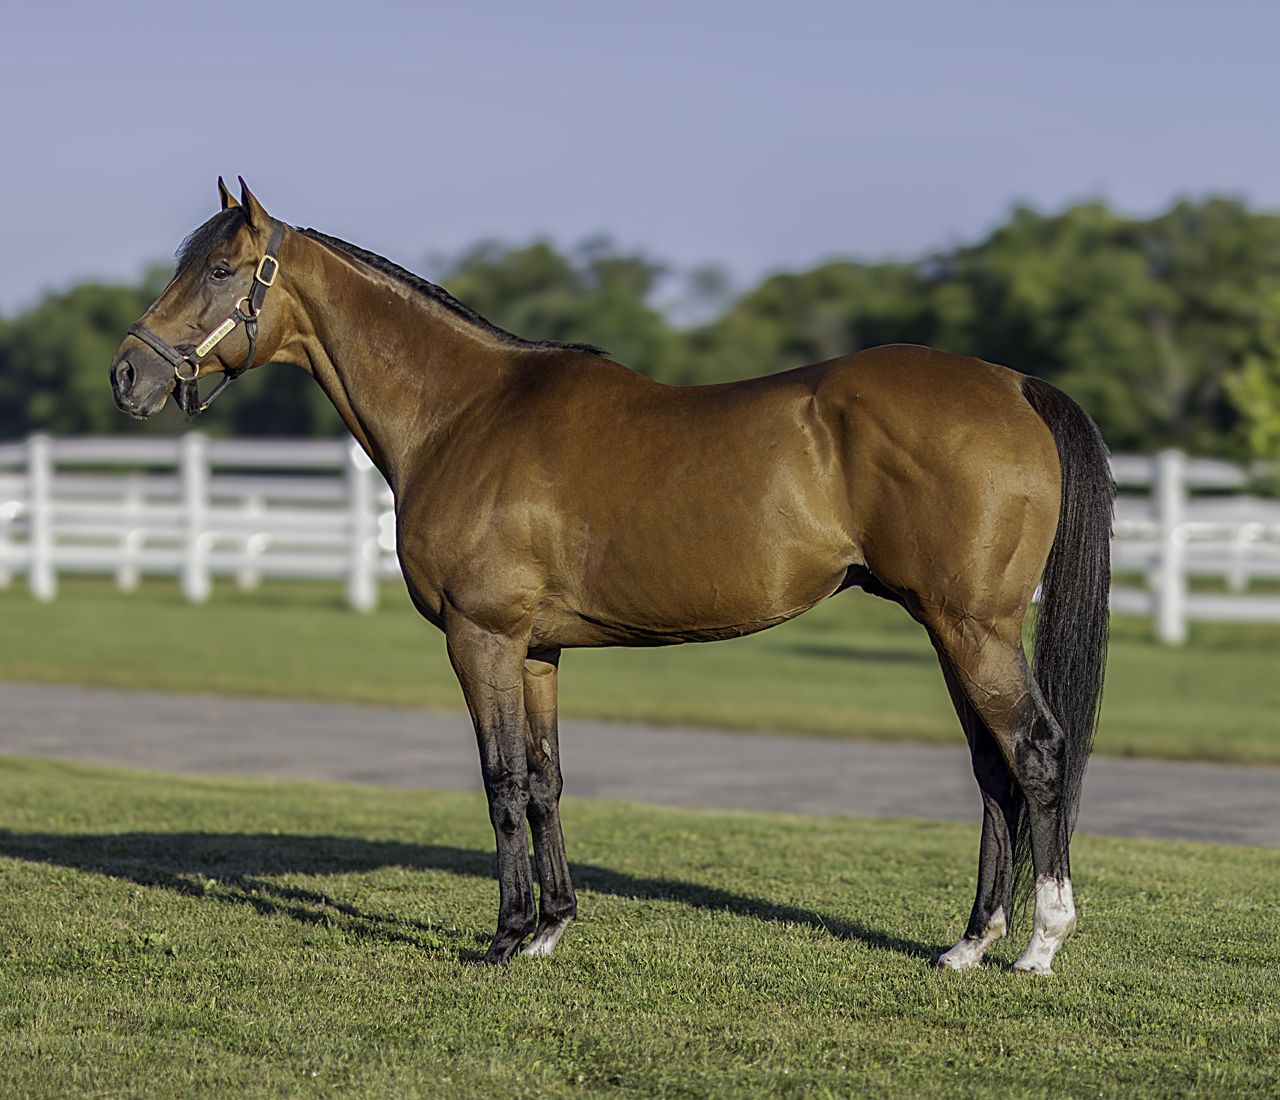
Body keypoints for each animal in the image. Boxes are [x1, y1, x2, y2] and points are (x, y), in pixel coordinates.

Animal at [110, 178, 1112, 973]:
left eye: (222, 271)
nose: (127, 375)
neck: (463, 415)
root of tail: (1013, 384)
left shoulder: (481, 637)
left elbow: (501, 783)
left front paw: (505, 937)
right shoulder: (537, 650)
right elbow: (546, 780)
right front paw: (551, 928)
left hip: (971, 629)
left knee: (1036, 753)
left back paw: (1040, 945)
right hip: (951, 630)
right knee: (993, 770)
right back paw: (969, 944)